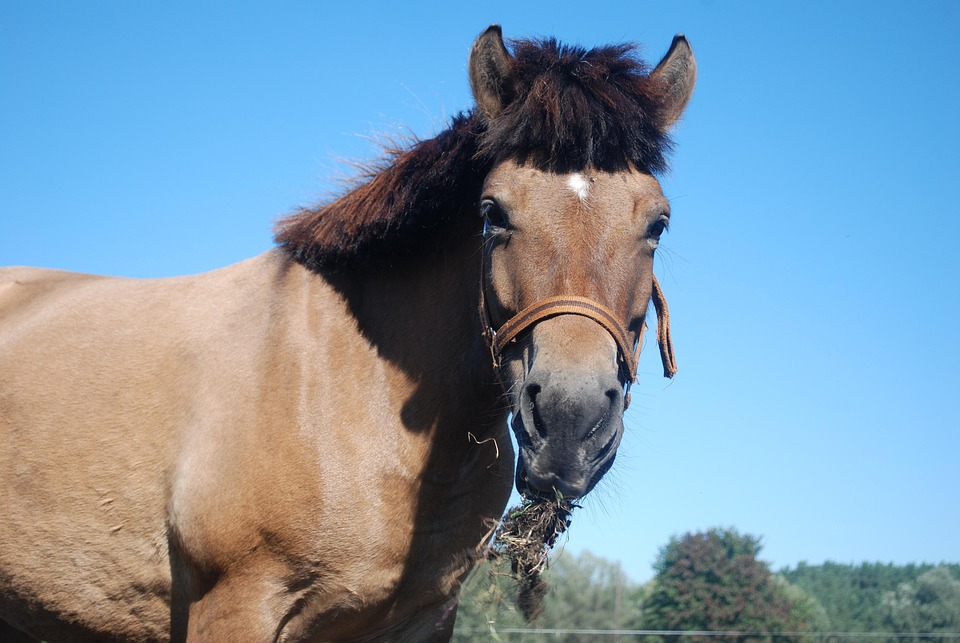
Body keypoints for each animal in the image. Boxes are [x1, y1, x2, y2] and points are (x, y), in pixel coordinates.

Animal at [0, 25, 695, 642]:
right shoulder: (234, 608)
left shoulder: (420, 623)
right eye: (493, 212)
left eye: (657, 223)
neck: (358, 397)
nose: (571, 423)